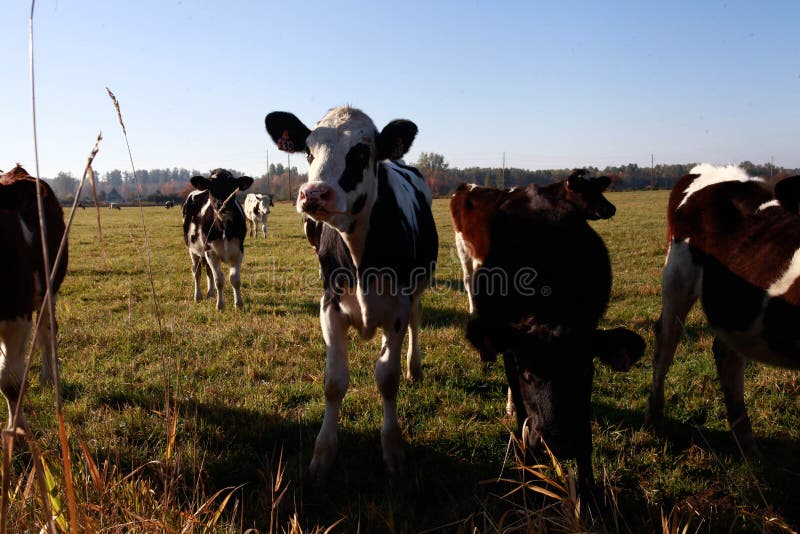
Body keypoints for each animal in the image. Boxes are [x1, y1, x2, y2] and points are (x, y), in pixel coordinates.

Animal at [182, 168, 253, 311]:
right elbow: (219, 280)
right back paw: (198, 296)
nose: (221, 204)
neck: (224, 226)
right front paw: (220, 306)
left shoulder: (238, 251)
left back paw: (210, 293)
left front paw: (239, 304)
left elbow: (235, 279)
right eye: (211, 186)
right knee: (196, 271)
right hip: (193, 250)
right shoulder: (210, 252)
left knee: (208, 271)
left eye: (232, 186)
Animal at [265, 106, 438, 478]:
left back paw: (415, 368)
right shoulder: (329, 306)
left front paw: (393, 449)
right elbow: (334, 382)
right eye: (308, 151)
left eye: (360, 152)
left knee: (417, 320)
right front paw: (323, 454)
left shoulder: (397, 310)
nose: (314, 194)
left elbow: (387, 377)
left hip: (418, 287)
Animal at [462, 181, 644, 499]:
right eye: (527, 374)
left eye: (585, 372)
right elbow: (523, 414)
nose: (559, 442)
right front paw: (527, 475)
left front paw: (589, 493)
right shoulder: (510, 354)